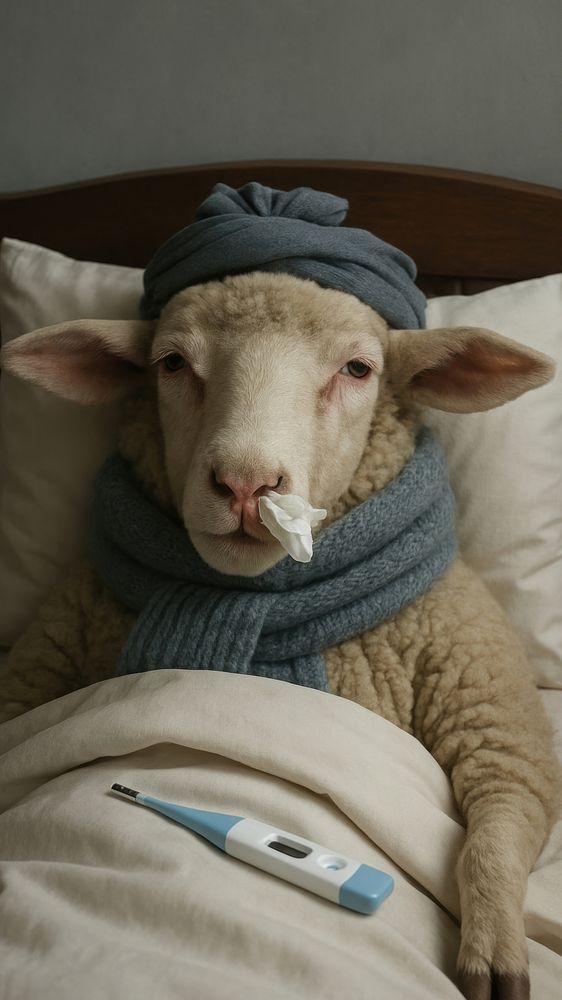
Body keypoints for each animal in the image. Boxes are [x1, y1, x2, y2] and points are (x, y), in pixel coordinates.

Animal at [0, 269, 560, 1000]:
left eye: (359, 369)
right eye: (171, 363)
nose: (245, 484)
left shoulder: (480, 682)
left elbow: (503, 808)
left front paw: (493, 946)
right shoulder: (51, 646)